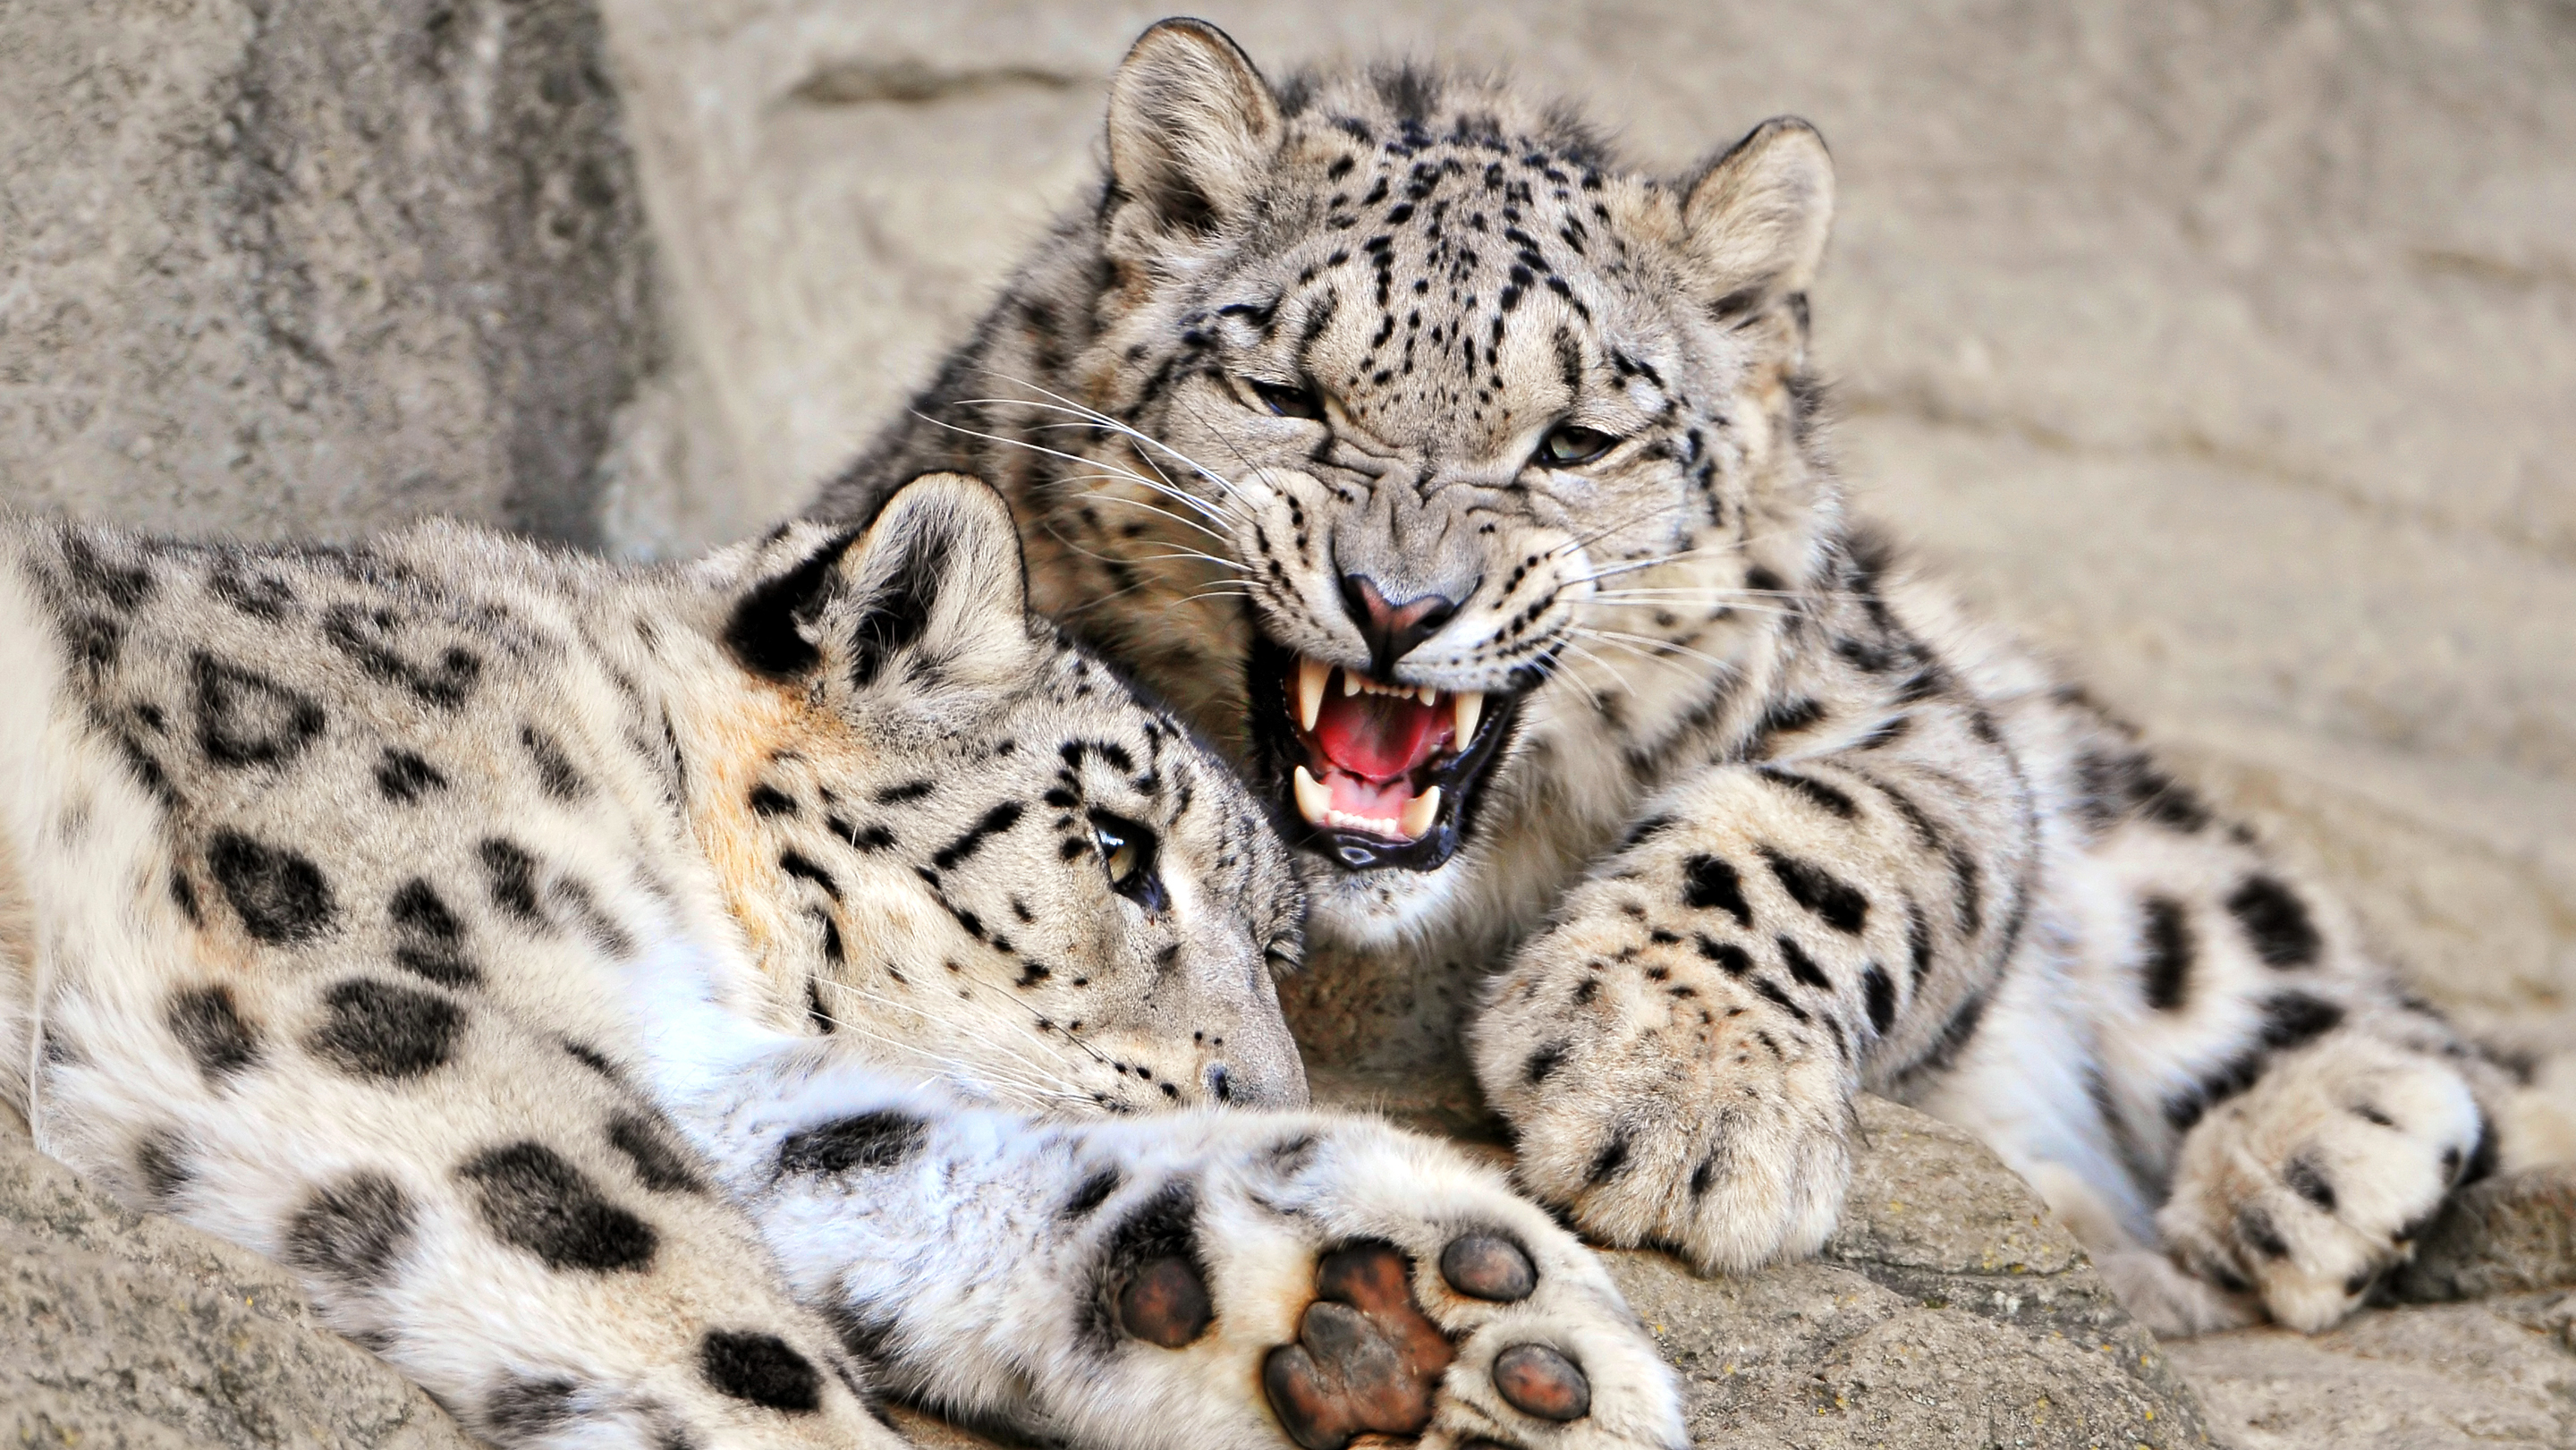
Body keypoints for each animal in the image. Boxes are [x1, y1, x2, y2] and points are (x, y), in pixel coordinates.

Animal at [0, 470, 1684, 1450]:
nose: (1256, 1084)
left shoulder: (684, 1059)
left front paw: (1432, 1318)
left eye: (1280, 943)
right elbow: (681, 1285)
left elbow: (881, 1148)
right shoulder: (359, 983)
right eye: (1116, 843)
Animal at [820, 17, 2572, 1337]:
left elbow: (1813, 839)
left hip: (2131, 834)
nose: (1398, 603)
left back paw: (2314, 1160)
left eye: (1578, 439)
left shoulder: (1917, 721)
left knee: (2341, 981)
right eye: (1288, 392)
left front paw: (1678, 1106)